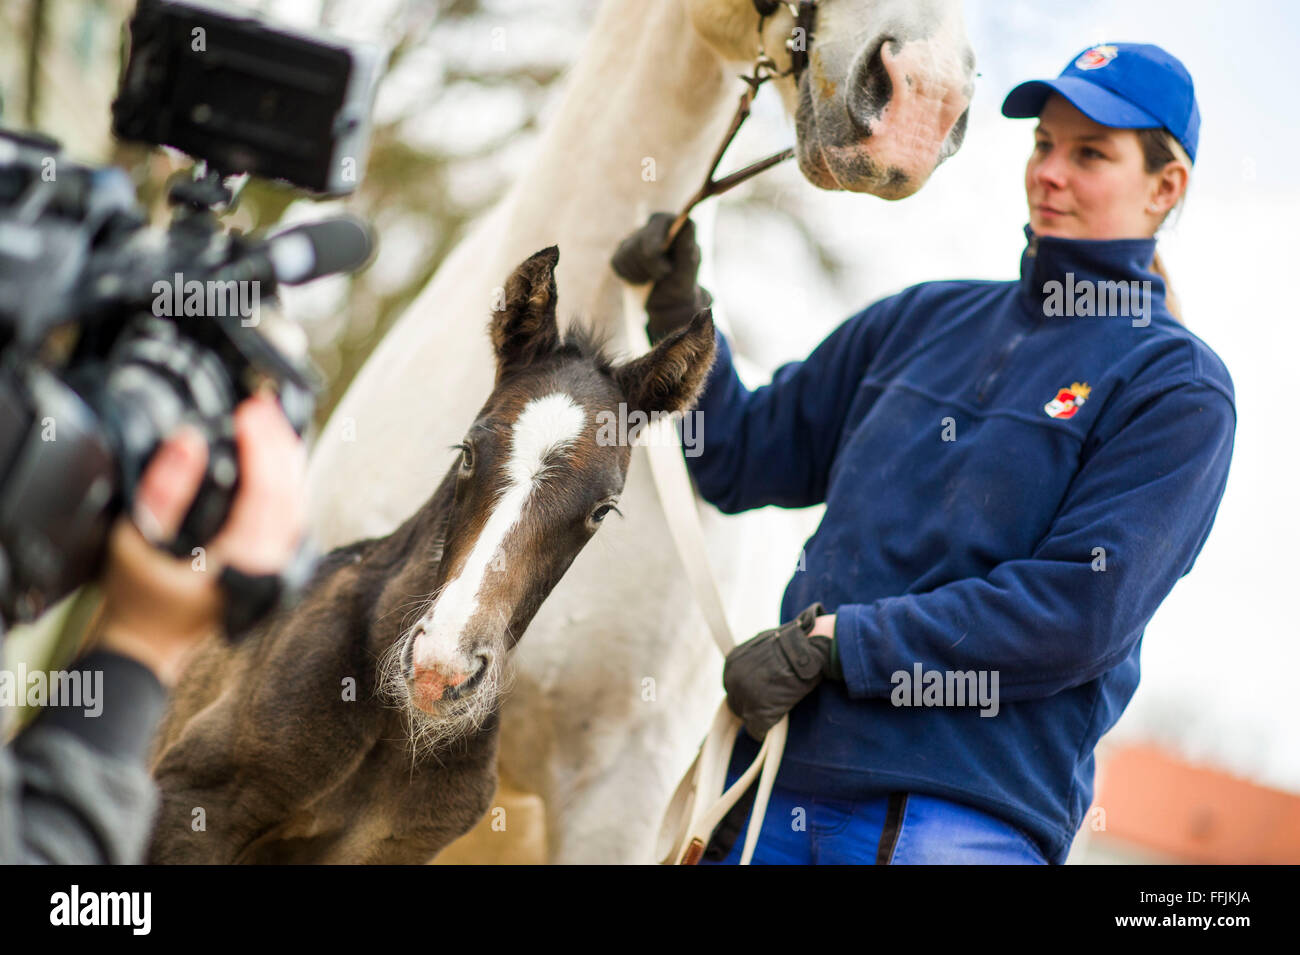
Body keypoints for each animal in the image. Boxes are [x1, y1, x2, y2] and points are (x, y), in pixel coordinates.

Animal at [145, 247, 717, 863]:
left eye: (603, 510)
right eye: (467, 450)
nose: (441, 671)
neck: (393, 723)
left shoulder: (391, 848)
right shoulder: (193, 805)